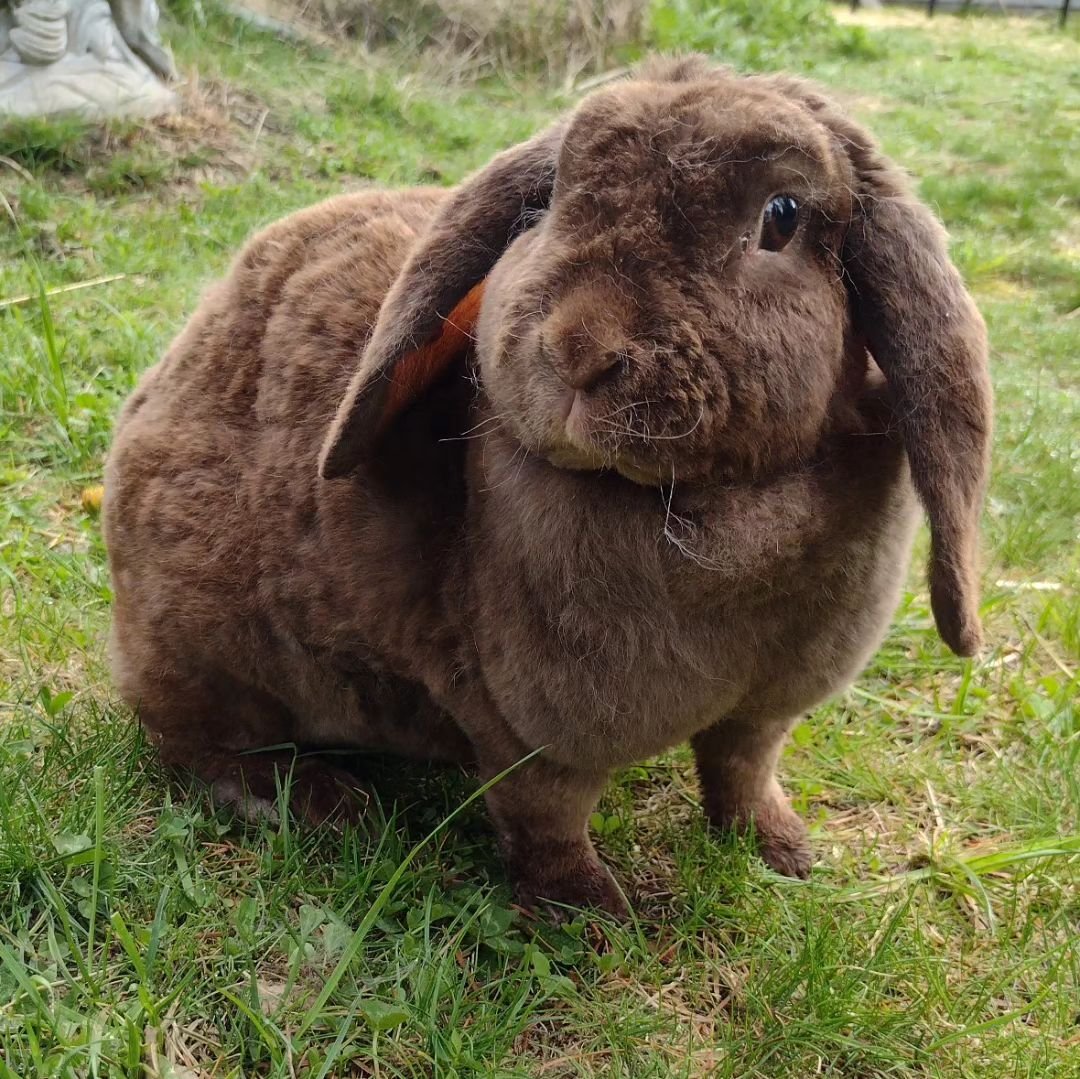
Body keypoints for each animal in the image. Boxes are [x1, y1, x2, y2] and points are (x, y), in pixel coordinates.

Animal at [103, 56, 991, 915]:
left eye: (783, 215)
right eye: (552, 198)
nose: (578, 348)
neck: (699, 503)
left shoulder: (763, 711)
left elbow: (742, 768)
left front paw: (780, 849)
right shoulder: (520, 729)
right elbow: (547, 815)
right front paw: (587, 913)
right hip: (209, 657)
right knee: (194, 743)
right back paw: (317, 799)